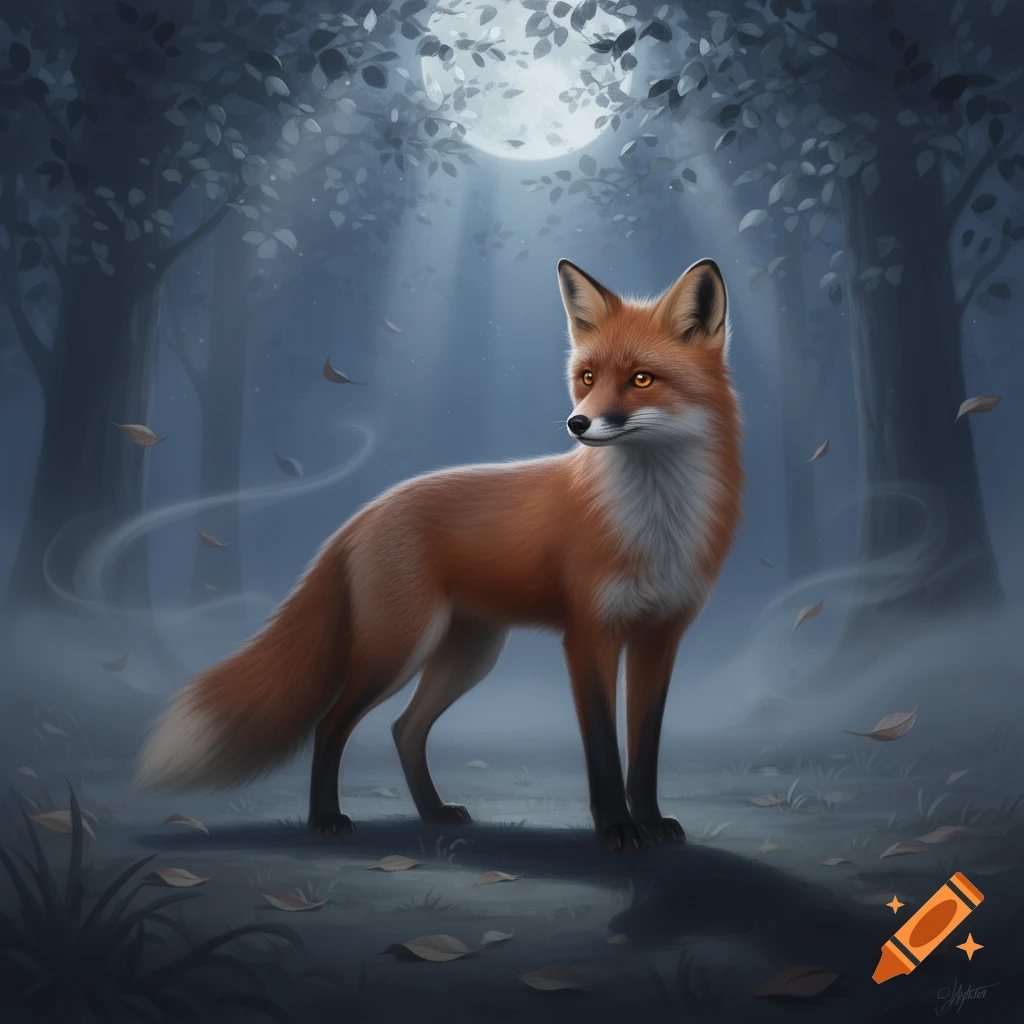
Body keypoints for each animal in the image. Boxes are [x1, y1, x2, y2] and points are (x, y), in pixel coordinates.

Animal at [136, 257, 743, 852]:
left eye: (642, 379)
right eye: (587, 378)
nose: (578, 423)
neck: (655, 523)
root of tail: (368, 511)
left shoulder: (659, 638)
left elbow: (645, 751)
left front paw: (652, 823)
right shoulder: (589, 637)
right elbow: (602, 748)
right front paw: (617, 827)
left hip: (466, 655)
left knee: (405, 728)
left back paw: (432, 813)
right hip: (399, 647)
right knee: (331, 725)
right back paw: (326, 819)